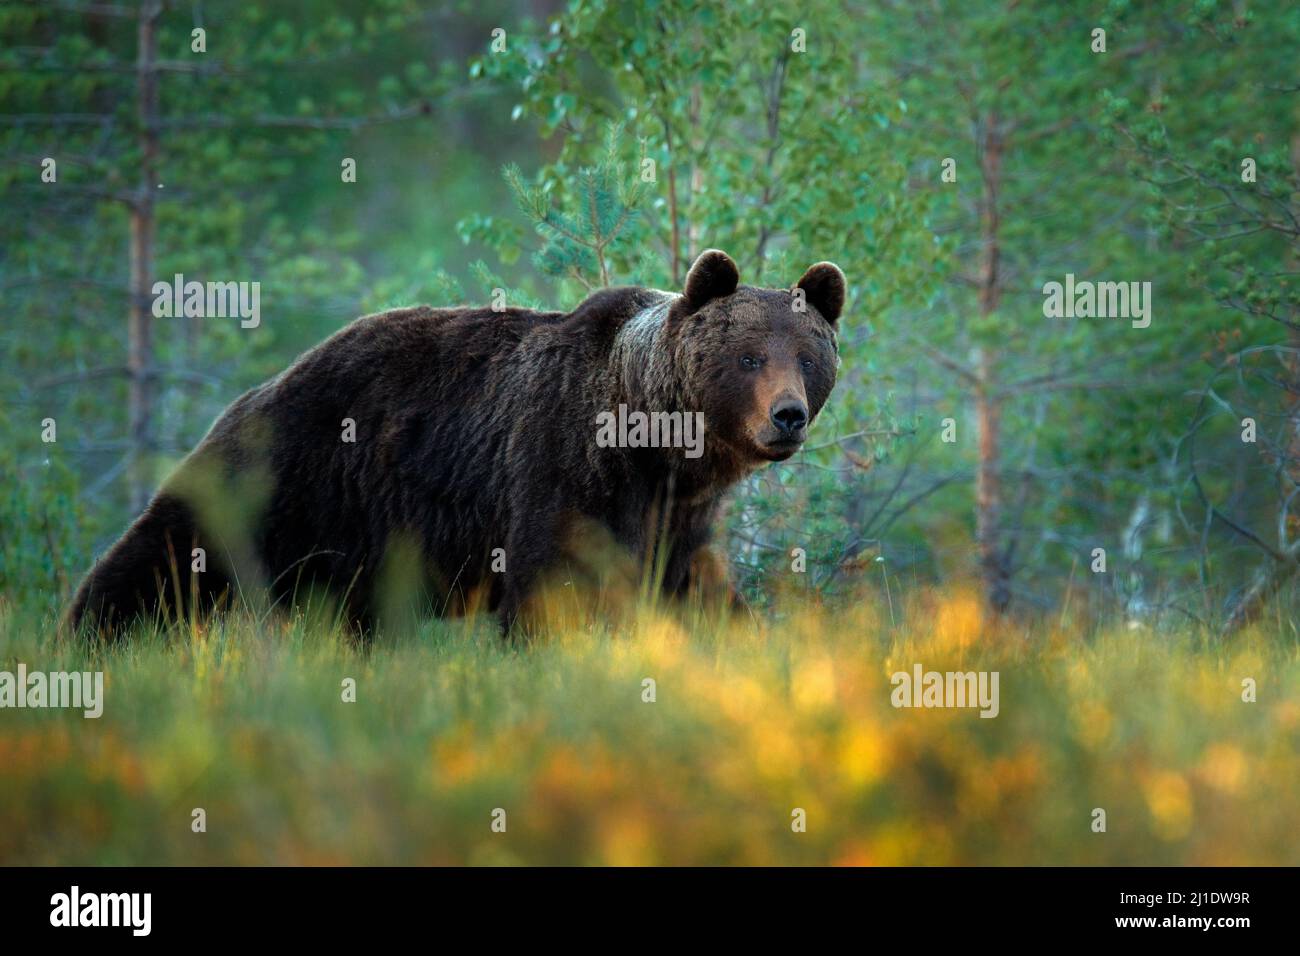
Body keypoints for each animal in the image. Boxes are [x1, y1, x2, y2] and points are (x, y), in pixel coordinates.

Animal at [67, 249, 847, 639]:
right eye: (748, 356)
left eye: (809, 357)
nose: (786, 416)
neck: (657, 444)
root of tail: (266, 381)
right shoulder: (561, 464)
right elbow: (550, 585)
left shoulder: (679, 517)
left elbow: (701, 592)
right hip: (284, 469)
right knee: (175, 550)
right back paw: (95, 633)